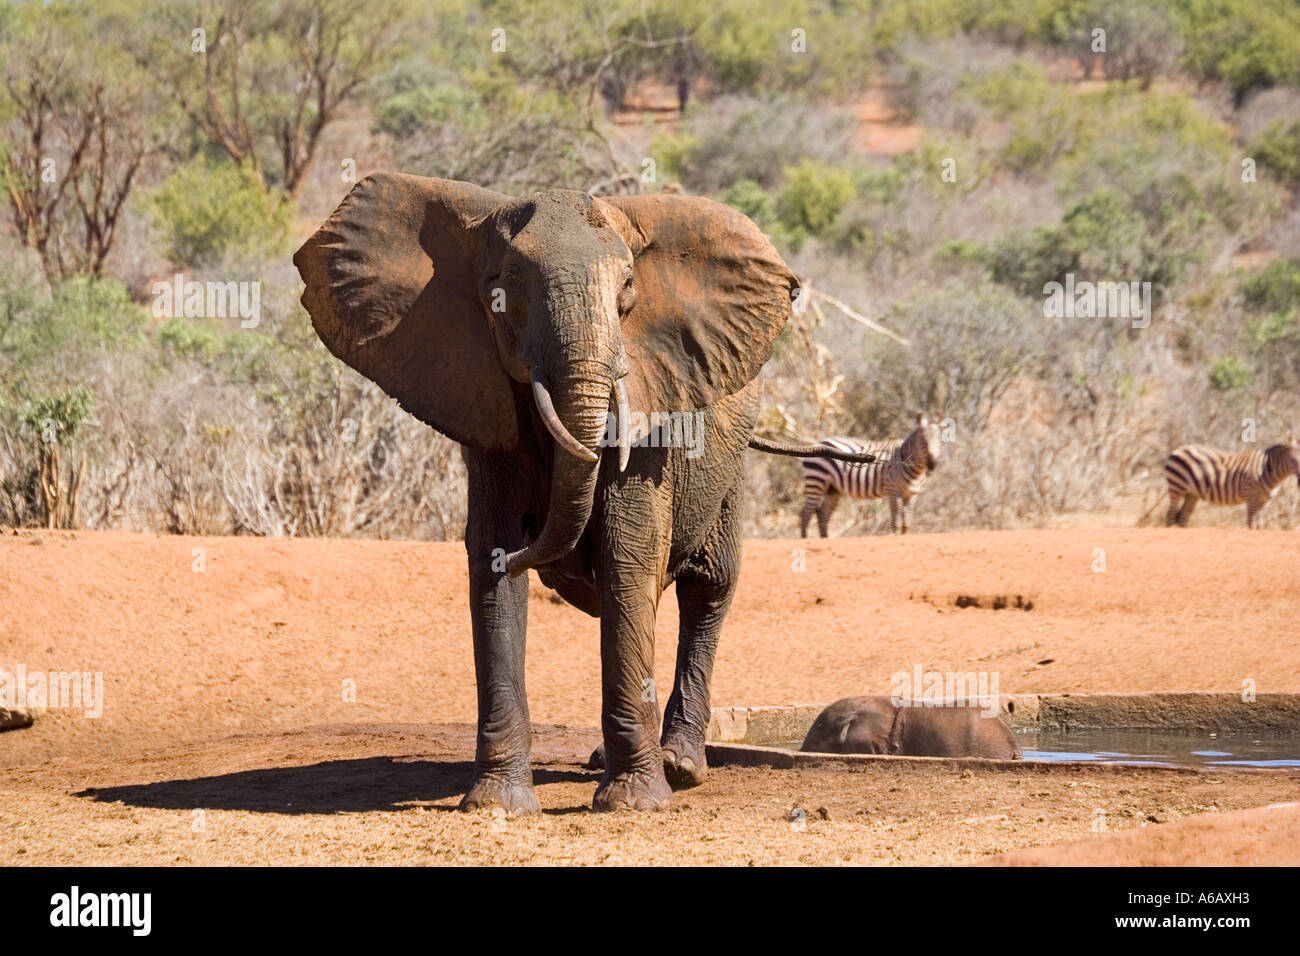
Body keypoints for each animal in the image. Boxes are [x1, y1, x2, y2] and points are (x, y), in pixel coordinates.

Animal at [294, 173, 878, 814]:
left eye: (628, 289)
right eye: (502, 291)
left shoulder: (651, 408)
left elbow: (628, 559)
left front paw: (634, 803)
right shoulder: (485, 412)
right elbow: (492, 564)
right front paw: (497, 805)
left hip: (730, 465)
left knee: (709, 586)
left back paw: (679, 767)